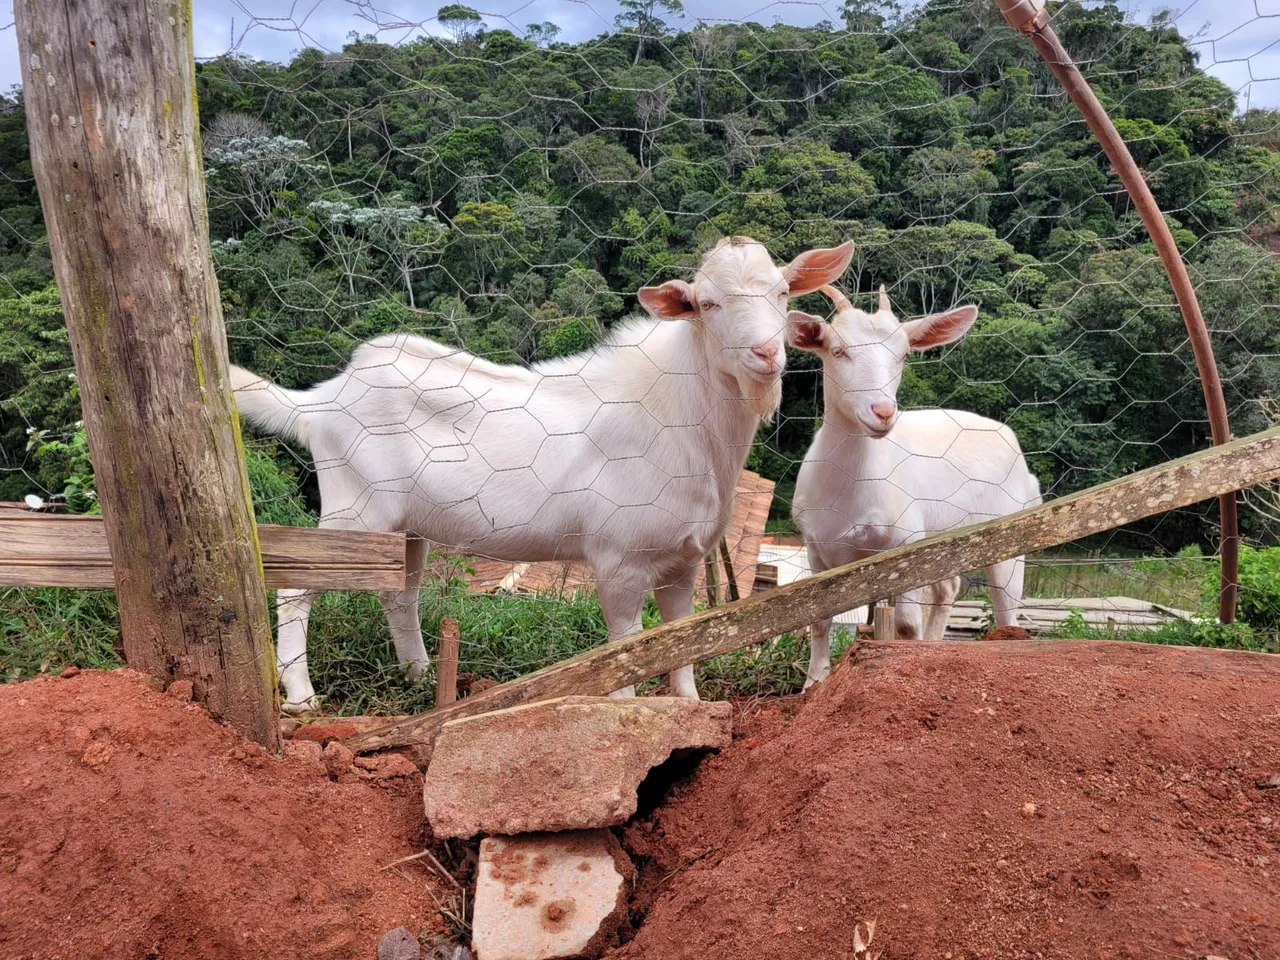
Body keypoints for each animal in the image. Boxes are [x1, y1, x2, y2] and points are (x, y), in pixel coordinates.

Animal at [231, 237, 855, 711]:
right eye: (707, 303)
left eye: (781, 292)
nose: (765, 353)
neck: (682, 413)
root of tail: (323, 403)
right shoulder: (620, 559)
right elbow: (624, 645)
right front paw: (629, 716)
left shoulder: (684, 559)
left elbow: (681, 638)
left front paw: (690, 707)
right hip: (355, 508)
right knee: (296, 587)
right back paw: (302, 696)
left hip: (406, 526)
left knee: (399, 594)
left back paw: (419, 678)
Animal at [788, 284, 1042, 688]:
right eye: (838, 350)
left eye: (903, 354)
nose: (882, 412)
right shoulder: (816, 549)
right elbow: (819, 621)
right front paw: (813, 683)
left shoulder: (905, 544)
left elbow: (906, 626)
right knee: (948, 589)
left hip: (1010, 535)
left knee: (1007, 606)